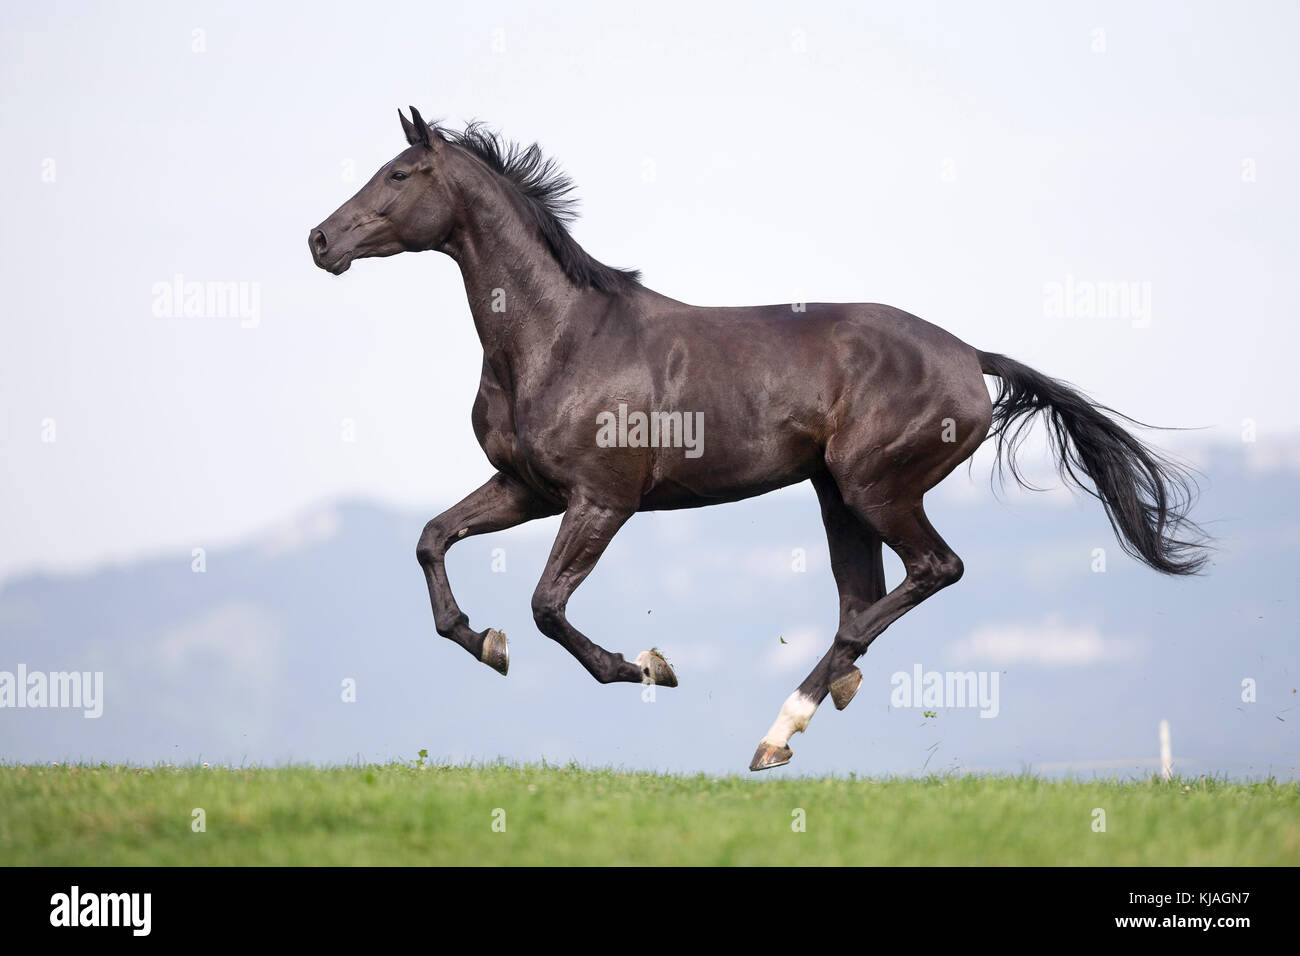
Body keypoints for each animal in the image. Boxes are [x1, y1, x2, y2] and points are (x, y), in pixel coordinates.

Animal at [309, 108, 1206, 771]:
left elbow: (547, 606)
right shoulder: (527, 489)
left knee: (928, 573)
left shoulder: (600, 500)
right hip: (837, 495)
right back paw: (801, 718)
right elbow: (433, 540)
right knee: (864, 597)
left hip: (876, 485)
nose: (320, 240)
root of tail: (968, 356)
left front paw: (647, 666)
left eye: (399, 174)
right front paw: (482, 642)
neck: (557, 338)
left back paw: (783, 724)